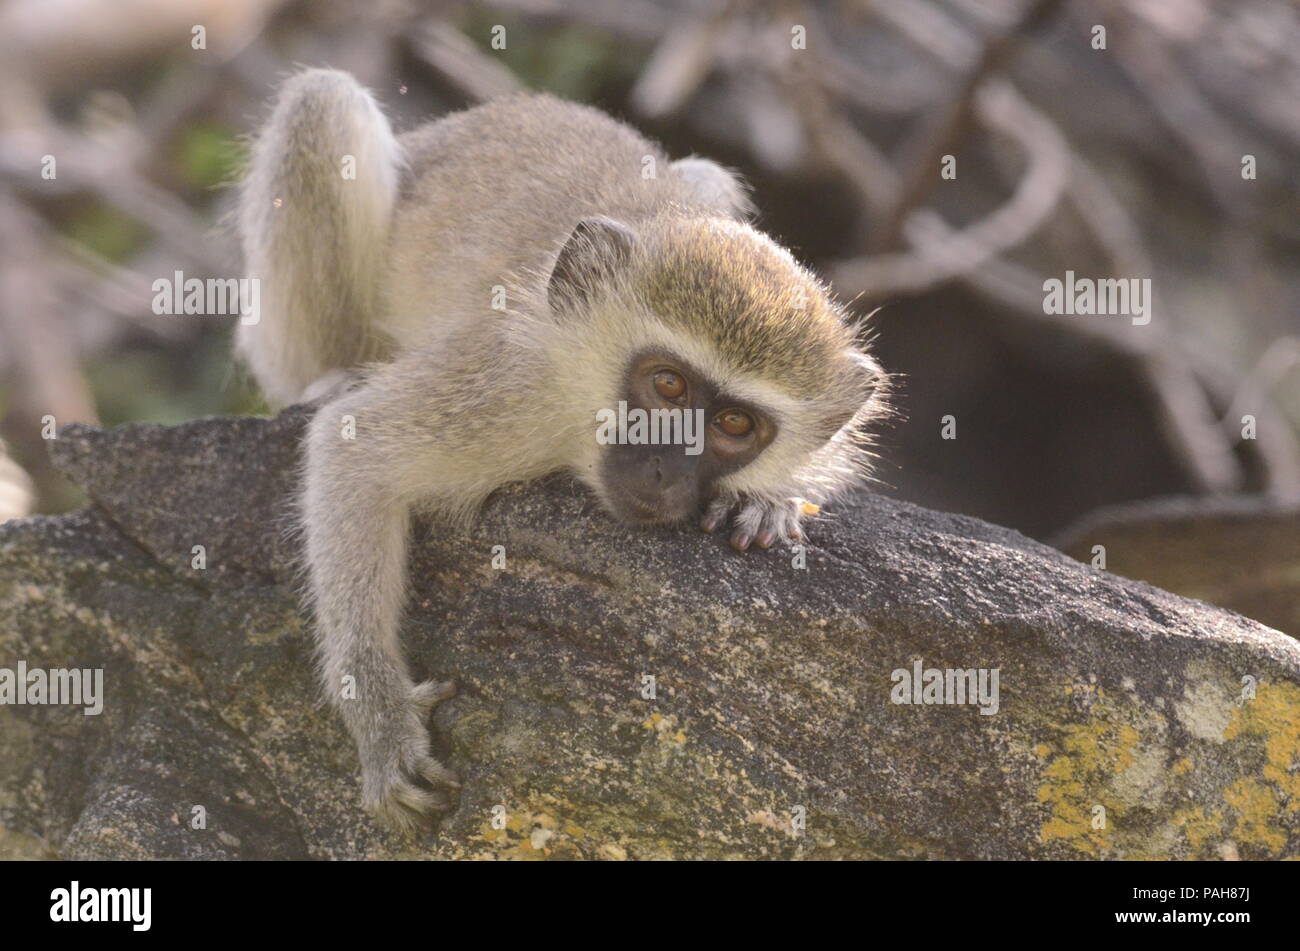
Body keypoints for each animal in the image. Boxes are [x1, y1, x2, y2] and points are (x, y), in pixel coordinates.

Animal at [236, 69, 888, 835]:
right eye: (667, 384)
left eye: (734, 424)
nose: (664, 469)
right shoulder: (509, 389)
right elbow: (356, 450)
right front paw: (381, 713)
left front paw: (769, 499)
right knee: (323, 99)